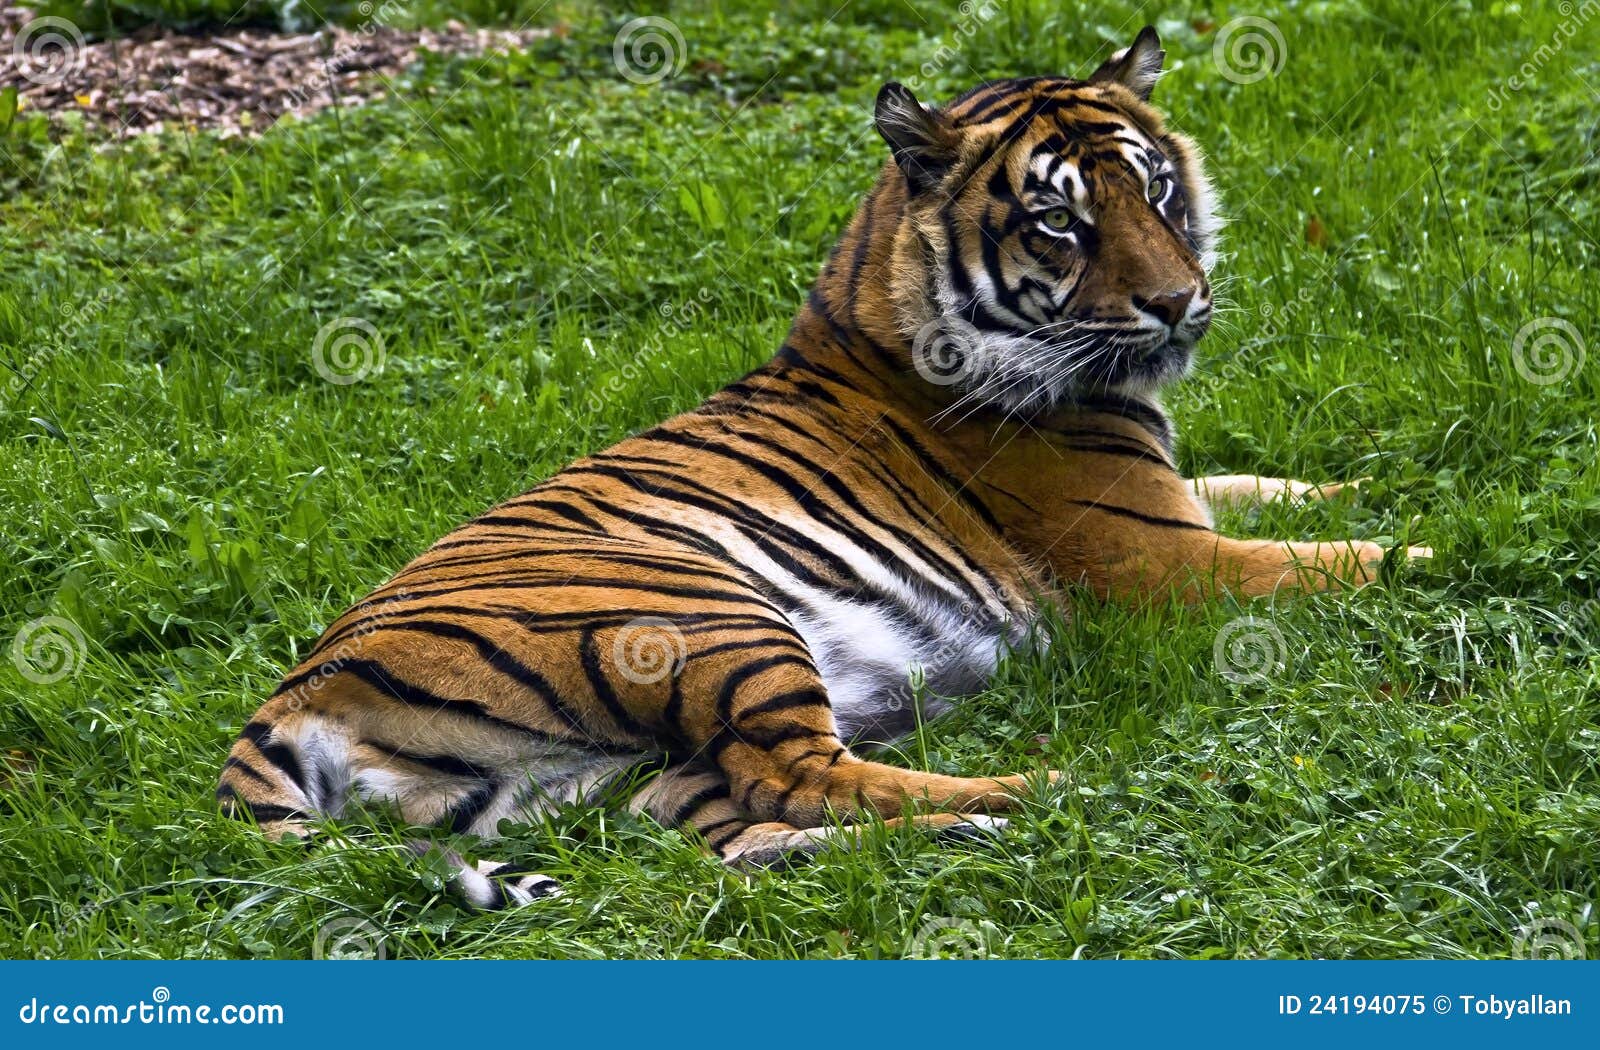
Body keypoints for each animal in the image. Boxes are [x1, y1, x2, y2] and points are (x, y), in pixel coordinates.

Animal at [218, 27, 1427, 909]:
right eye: (1057, 222)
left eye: (1157, 192)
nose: (1180, 304)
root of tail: (294, 693)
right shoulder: (1160, 560)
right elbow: (1357, 560)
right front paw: (1461, 546)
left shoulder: (1181, 500)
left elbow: (1281, 489)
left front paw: (1404, 474)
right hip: (707, 614)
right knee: (797, 774)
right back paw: (1036, 785)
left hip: (603, 777)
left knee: (733, 831)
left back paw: (954, 828)